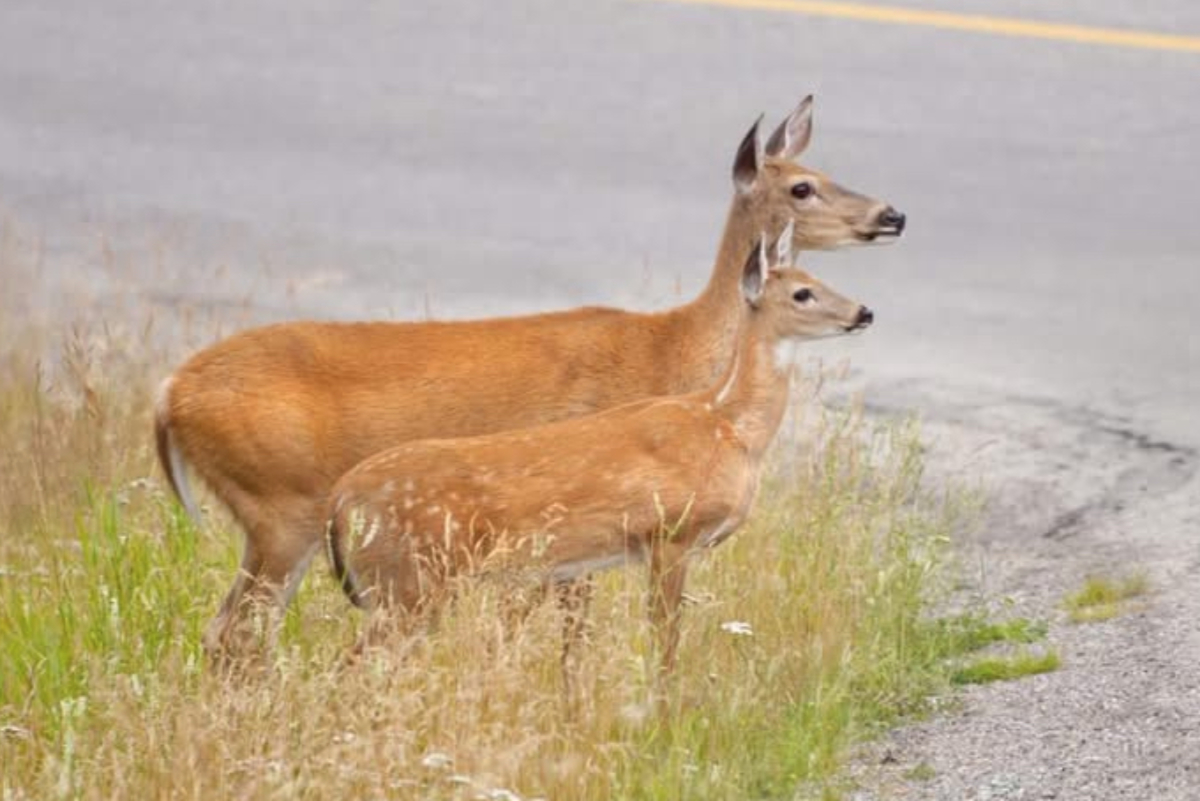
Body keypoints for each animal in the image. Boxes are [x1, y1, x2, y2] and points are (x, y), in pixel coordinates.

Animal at [325, 225, 874, 680]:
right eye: (802, 292)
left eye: (818, 276)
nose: (864, 312)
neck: (728, 426)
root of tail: (341, 500)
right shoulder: (670, 532)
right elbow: (665, 640)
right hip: (406, 583)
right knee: (347, 667)